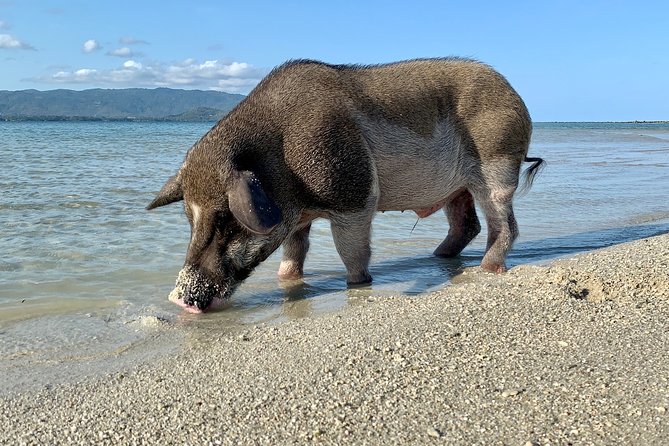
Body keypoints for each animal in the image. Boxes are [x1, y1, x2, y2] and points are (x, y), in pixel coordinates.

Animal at [147, 58, 544, 313]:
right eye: (190, 219)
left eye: (226, 219)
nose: (177, 299)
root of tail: (517, 98)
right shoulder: (297, 218)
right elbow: (294, 254)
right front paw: (288, 281)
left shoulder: (355, 196)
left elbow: (350, 252)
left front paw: (358, 283)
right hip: (458, 188)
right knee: (466, 224)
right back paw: (438, 258)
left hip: (496, 164)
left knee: (504, 225)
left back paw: (486, 268)